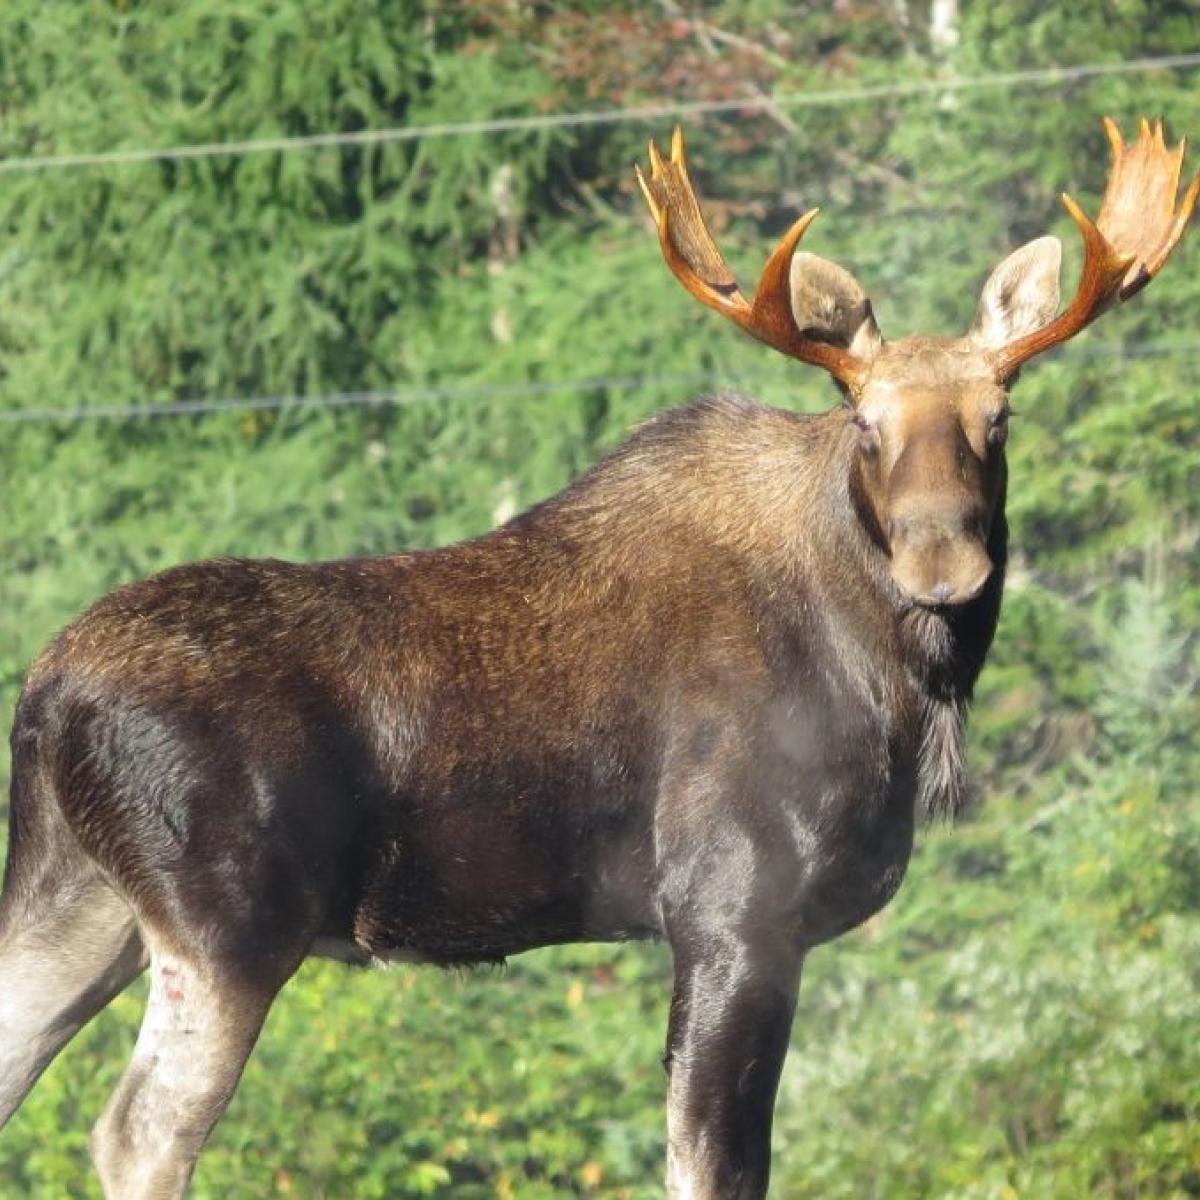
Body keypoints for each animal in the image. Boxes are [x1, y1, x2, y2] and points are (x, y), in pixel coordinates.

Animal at [0, 117, 1195, 1199]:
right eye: (865, 423)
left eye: (1001, 416)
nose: (943, 561)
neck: (898, 689)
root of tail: (46, 696)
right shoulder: (732, 910)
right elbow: (708, 1163)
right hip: (228, 926)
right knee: (138, 1133)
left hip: (82, 902)